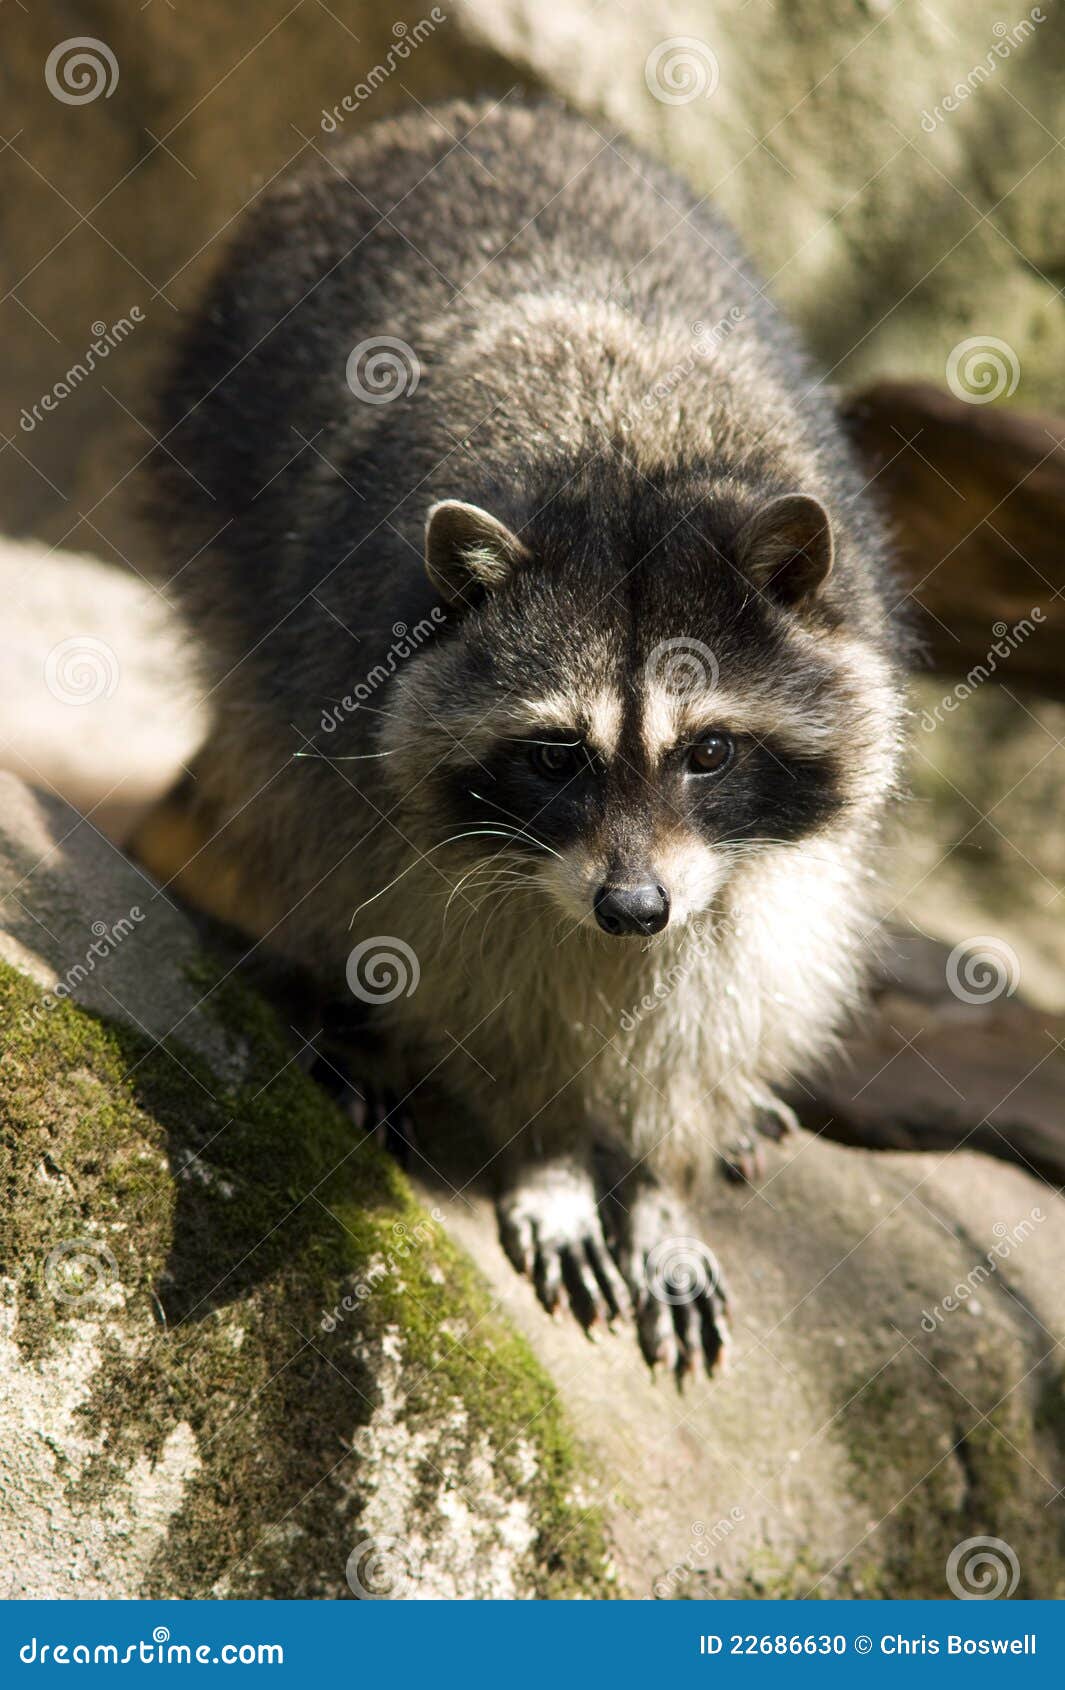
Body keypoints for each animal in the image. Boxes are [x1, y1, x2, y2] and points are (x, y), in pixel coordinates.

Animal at [149, 97, 906, 1375]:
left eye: (710, 752)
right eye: (557, 756)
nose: (631, 909)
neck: (632, 462)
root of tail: (459, 112)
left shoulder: (759, 857)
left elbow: (724, 985)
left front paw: (657, 1176)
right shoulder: (355, 717)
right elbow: (461, 961)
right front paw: (547, 1148)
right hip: (222, 533)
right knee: (271, 795)